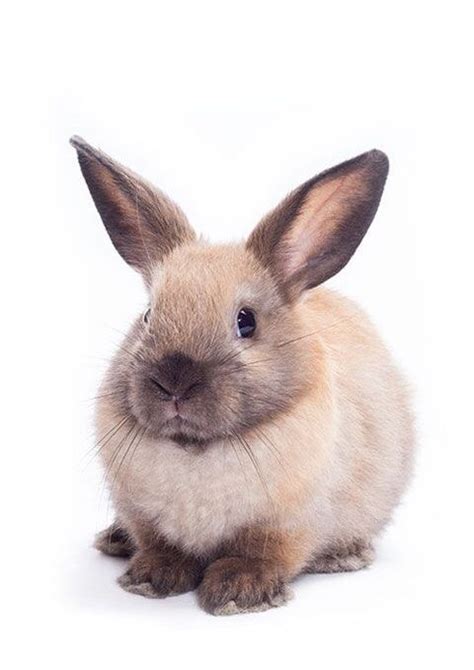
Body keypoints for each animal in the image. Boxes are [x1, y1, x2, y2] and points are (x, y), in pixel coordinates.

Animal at [71, 136, 414, 615]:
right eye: (148, 314)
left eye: (245, 321)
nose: (173, 383)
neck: (196, 451)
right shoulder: (145, 517)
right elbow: (160, 545)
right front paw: (151, 578)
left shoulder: (286, 526)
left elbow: (260, 554)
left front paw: (238, 592)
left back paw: (345, 556)